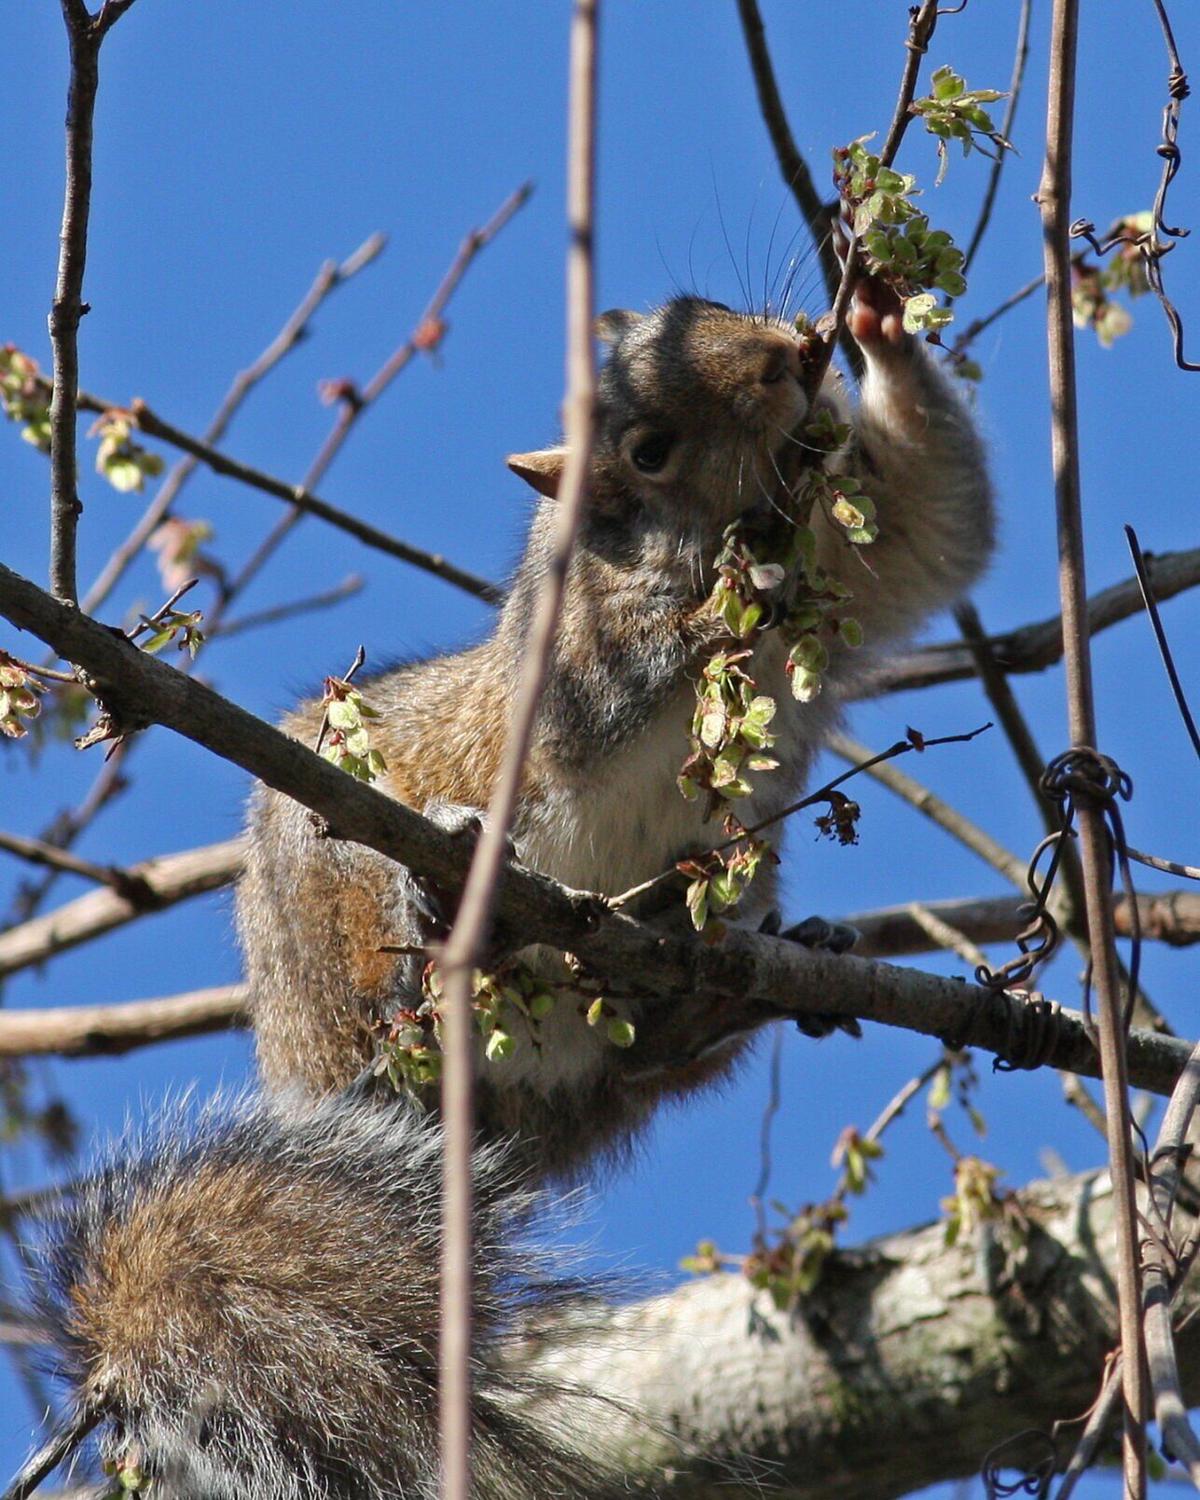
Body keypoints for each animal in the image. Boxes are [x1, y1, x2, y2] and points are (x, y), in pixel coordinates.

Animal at [237, 270, 994, 1180]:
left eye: (706, 306)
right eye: (649, 452)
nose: (783, 361)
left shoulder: (852, 557)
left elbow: (931, 515)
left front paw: (880, 318)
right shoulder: (566, 657)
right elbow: (599, 700)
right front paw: (720, 607)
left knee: (643, 1057)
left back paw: (714, 1004)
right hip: (330, 877)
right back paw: (448, 911)